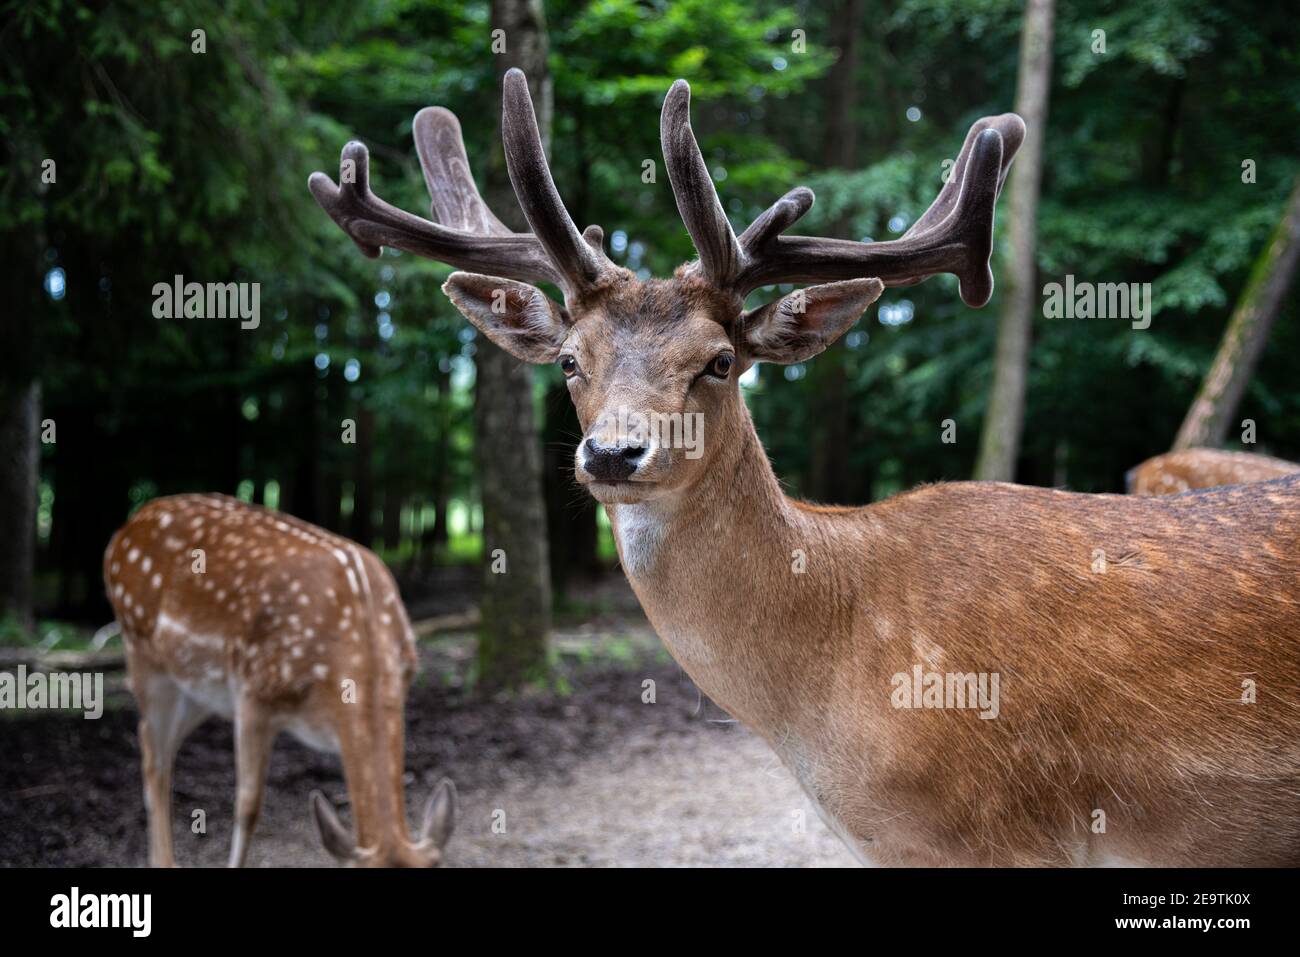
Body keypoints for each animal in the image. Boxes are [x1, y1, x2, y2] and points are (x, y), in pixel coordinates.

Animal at [103, 493, 456, 867]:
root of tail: (126, 529)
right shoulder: (254, 691)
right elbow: (248, 806)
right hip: (141, 650)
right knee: (152, 754)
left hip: (198, 689)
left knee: (158, 747)